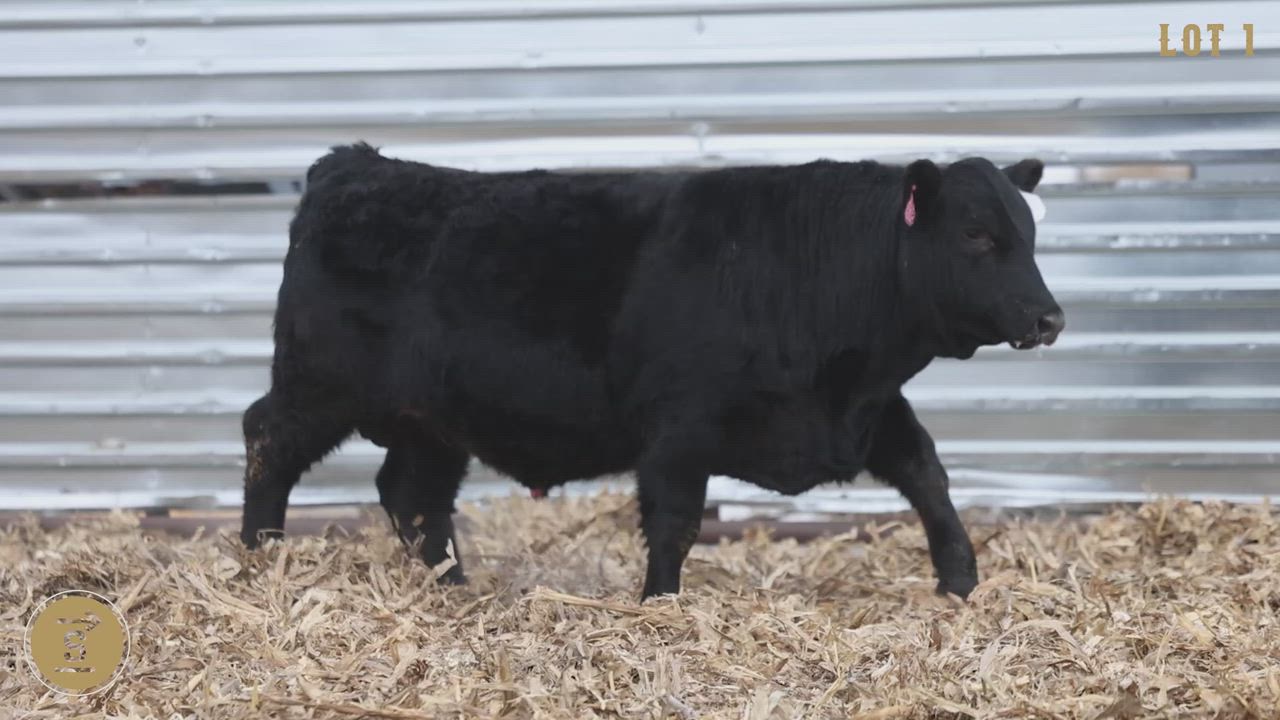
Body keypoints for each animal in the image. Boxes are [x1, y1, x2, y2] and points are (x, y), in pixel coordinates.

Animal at [240, 144, 1063, 600]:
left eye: (1028, 232)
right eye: (977, 235)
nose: (1049, 318)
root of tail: (354, 164)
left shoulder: (873, 406)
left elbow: (929, 478)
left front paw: (960, 582)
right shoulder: (677, 430)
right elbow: (674, 522)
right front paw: (659, 604)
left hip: (431, 419)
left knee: (413, 497)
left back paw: (450, 587)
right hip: (318, 384)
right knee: (267, 442)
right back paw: (260, 559)